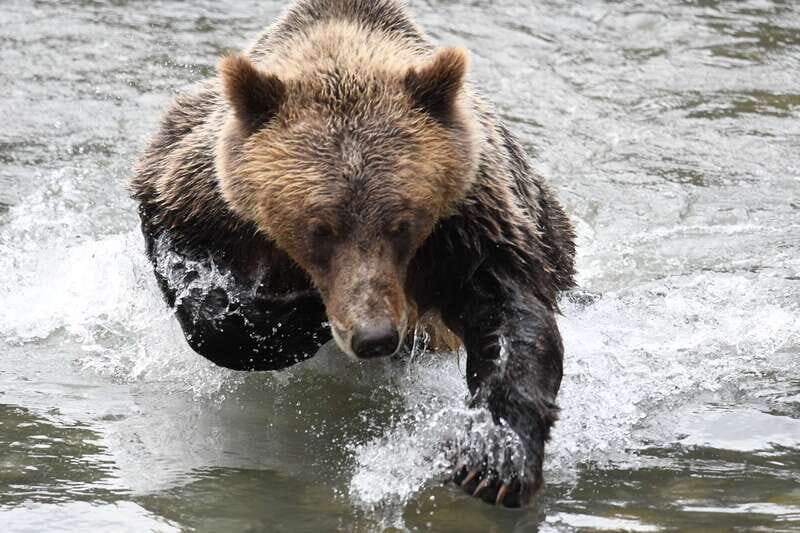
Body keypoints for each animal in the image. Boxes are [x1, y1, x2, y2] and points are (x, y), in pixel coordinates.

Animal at [130, 0, 576, 507]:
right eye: (319, 229)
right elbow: (197, 281)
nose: (375, 336)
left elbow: (510, 318)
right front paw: (292, 320)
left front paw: (494, 459)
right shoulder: (202, 194)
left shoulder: (470, 225)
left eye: (401, 224)